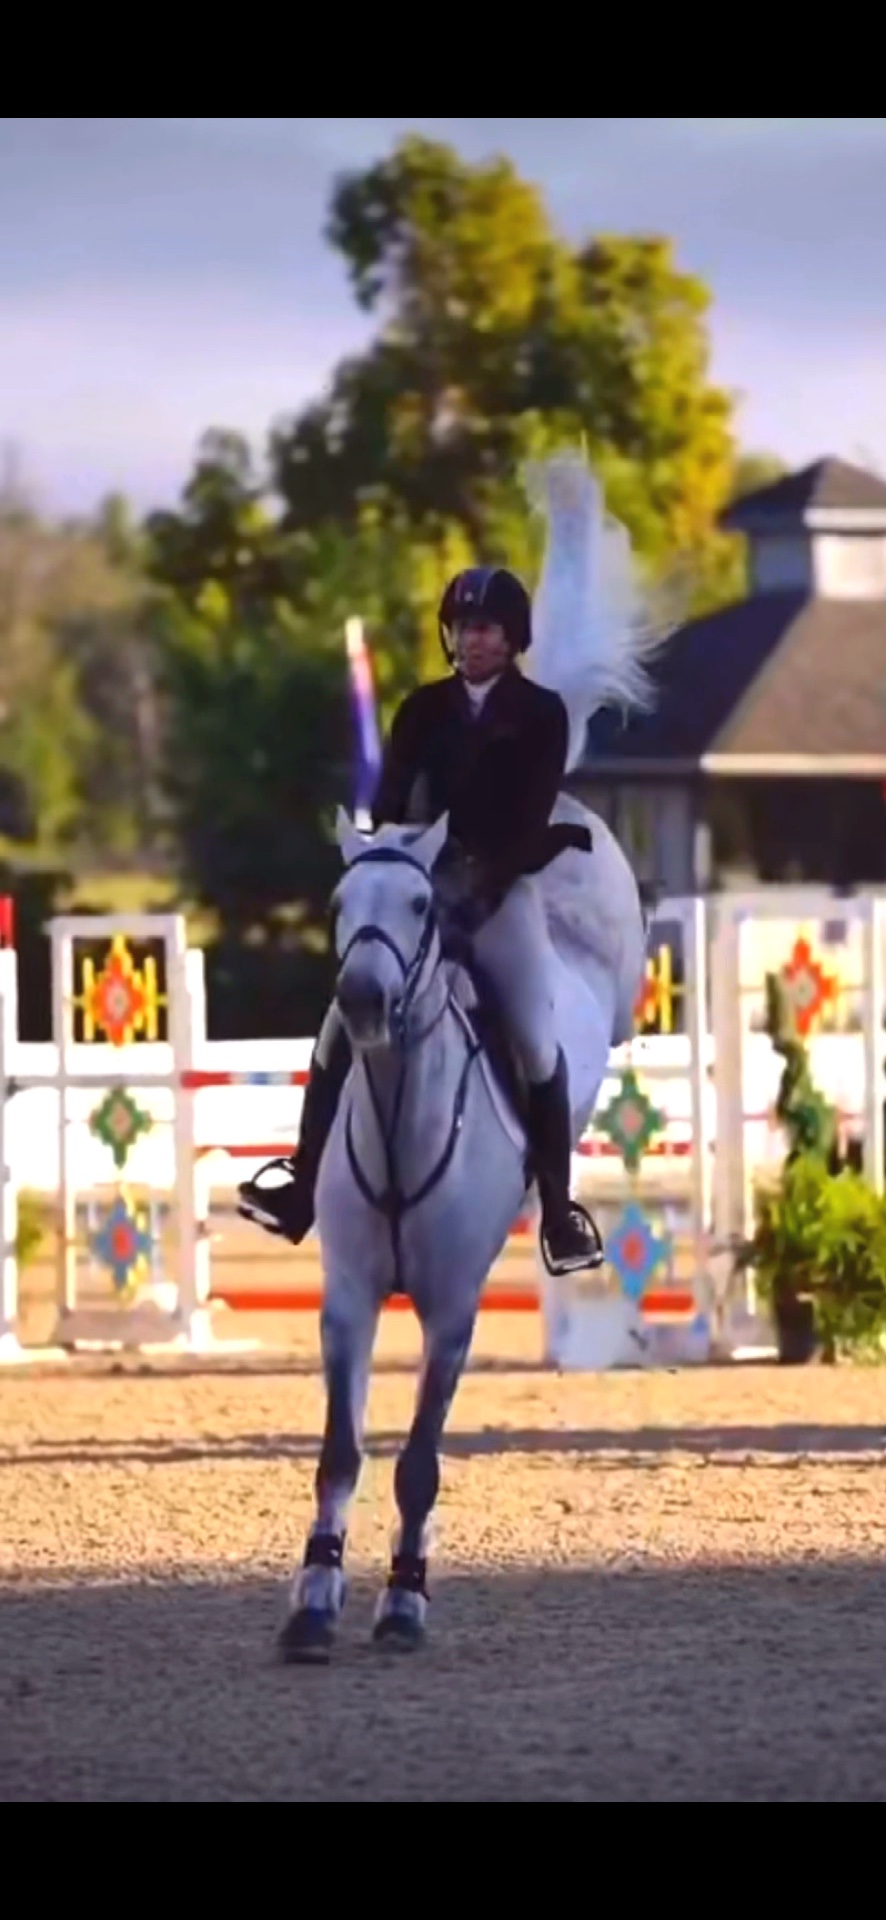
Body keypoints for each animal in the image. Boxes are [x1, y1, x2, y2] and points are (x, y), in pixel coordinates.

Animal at [278, 450, 659, 1661]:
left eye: (417, 905)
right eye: (342, 906)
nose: (359, 999)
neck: (404, 1113)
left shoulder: (447, 1311)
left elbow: (417, 1461)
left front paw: (401, 1602)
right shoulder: (350, 1298)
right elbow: (343, 1452)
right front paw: (313, 1604)